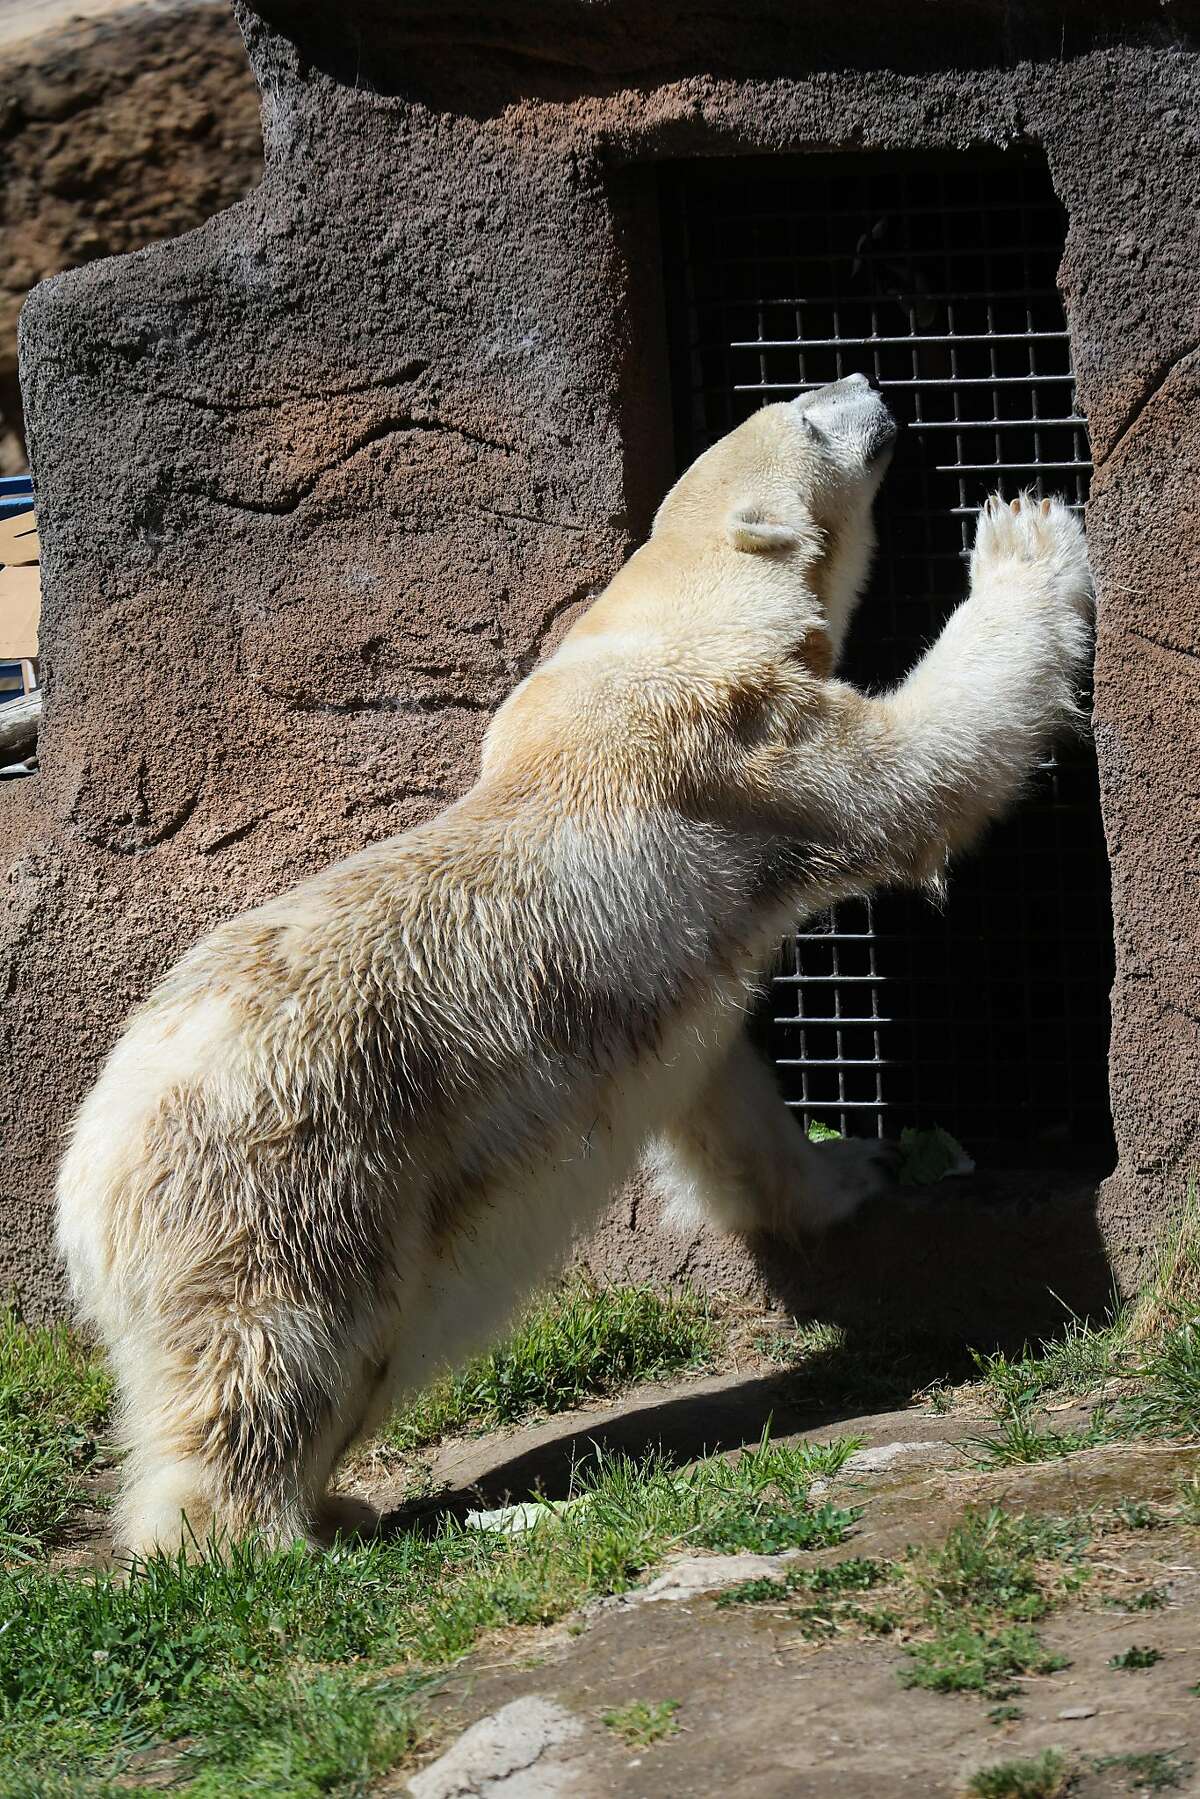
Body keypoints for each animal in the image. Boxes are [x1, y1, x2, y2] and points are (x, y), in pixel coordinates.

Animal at [56, 373, 1094, 1554]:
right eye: (806, 412)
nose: (868, 385)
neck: (660, 631)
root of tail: (82, 1192)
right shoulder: (742, 755)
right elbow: (925, 766)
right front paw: (1026, 535)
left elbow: (720, 1093)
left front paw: (851, 1168)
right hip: (286, 1172)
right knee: (270, 1353)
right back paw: (290, 1535)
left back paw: (339, 1498)